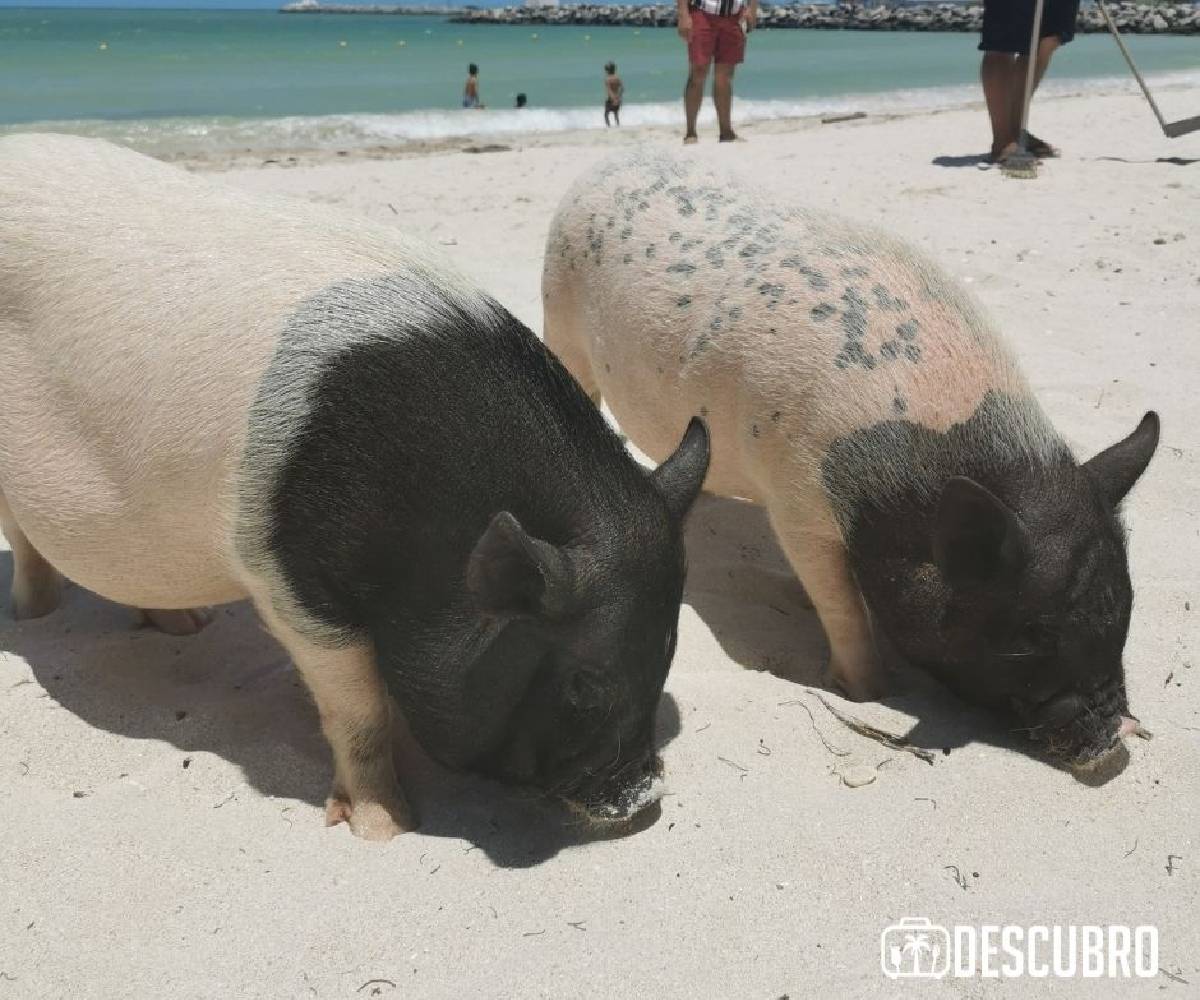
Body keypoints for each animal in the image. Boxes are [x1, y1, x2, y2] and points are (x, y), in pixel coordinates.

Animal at [0, 134, 710, 839]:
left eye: (668, 651)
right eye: (583, 684)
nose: (644, 798)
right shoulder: (287, 580)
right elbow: (359, 706)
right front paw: (385, 829)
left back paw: (187, 627)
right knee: (25, 544)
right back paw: (33, 616)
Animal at [542, 149, 1159, 773]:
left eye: (1127, 602)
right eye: (1032, 633)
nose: (1117, 738)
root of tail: (610, 163)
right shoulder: (796, 502)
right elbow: (840, 604)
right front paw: (865, 692)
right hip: (558, 312)